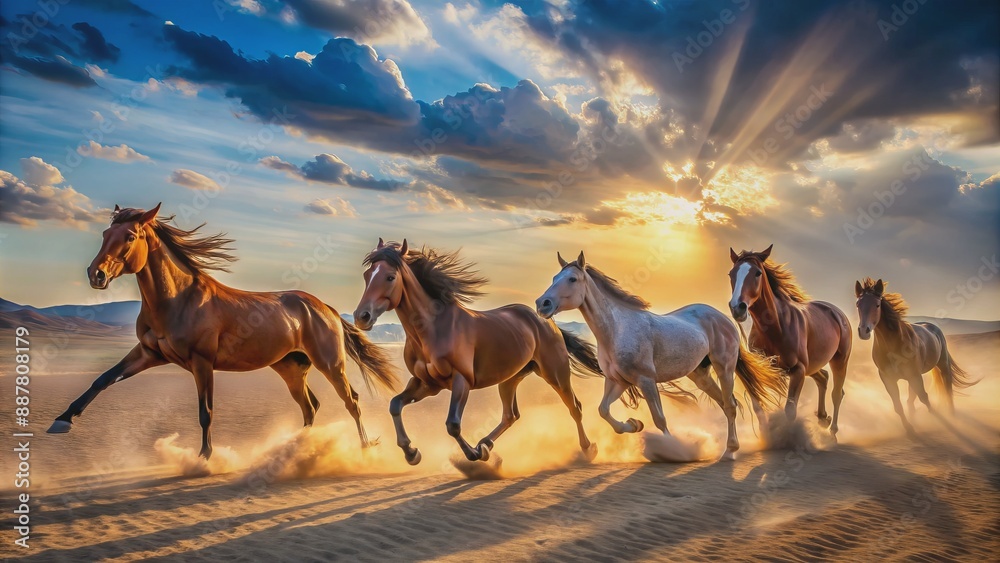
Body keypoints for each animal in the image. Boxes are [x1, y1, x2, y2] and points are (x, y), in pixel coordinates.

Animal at [47, 204, 399, 459]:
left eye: (131, 236)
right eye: (106, 231)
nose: (96, 274)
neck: (178, 299)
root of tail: (324, 306)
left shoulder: (202, 362)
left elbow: (206, 412)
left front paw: (204, 458)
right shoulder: (149, 354)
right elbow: (102, 379)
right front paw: (62, 419)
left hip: (330, 364)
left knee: (351, 401)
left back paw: (364, 446)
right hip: (290, 368)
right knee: (310, 407)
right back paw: (295, 448)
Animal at [353, 239, 605, 465]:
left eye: (390, 277)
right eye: (366, 276)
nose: (362, 316)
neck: (433, 329)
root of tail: (545, 320)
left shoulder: (461, 380)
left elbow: (452, 424)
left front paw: (473, 454)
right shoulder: (427, 384)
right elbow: (395, 405)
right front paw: (411, 453)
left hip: (555, 374)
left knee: (574, 407)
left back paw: (588, 449)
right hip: (510, 378)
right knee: (510, 415)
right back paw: (485, 443)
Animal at [535, 251, 787, 461]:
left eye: (572, 279)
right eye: (555, 277)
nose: (542, 304)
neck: (617, 329)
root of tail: (724, 318)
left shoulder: (645, 380)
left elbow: (659, 419)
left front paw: (673, 449)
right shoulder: (618, 381)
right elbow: (603, 410)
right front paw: (634, 424)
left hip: (724, 367)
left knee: (731, 405)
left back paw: (730, 451)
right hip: (701, 375)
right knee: (725, 405)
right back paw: (728, 449)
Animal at [728, 245, 852, 436]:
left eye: (757, 273)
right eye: (731, 273)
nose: (737, 308)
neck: (777, 327)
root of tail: (837, 312)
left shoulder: (798, 370)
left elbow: (790, 411)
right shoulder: (765, 369)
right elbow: (758, 407)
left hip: (839, 360)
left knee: (837, 393)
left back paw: (833, 430)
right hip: (813, 365)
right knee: (823, 378)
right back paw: (823, 418)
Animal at [854, 278, 977, 436]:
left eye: (877, 305)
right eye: (858, 304)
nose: (864, 331)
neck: (893, 344)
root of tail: (933, 327)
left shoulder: (914, 375)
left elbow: (924, 397)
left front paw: (940, 420)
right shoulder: (888, 379)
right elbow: (898, 405)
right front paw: (909, 427)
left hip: (941, 366)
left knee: (947, 388)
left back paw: (951, 414)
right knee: (911, 399)